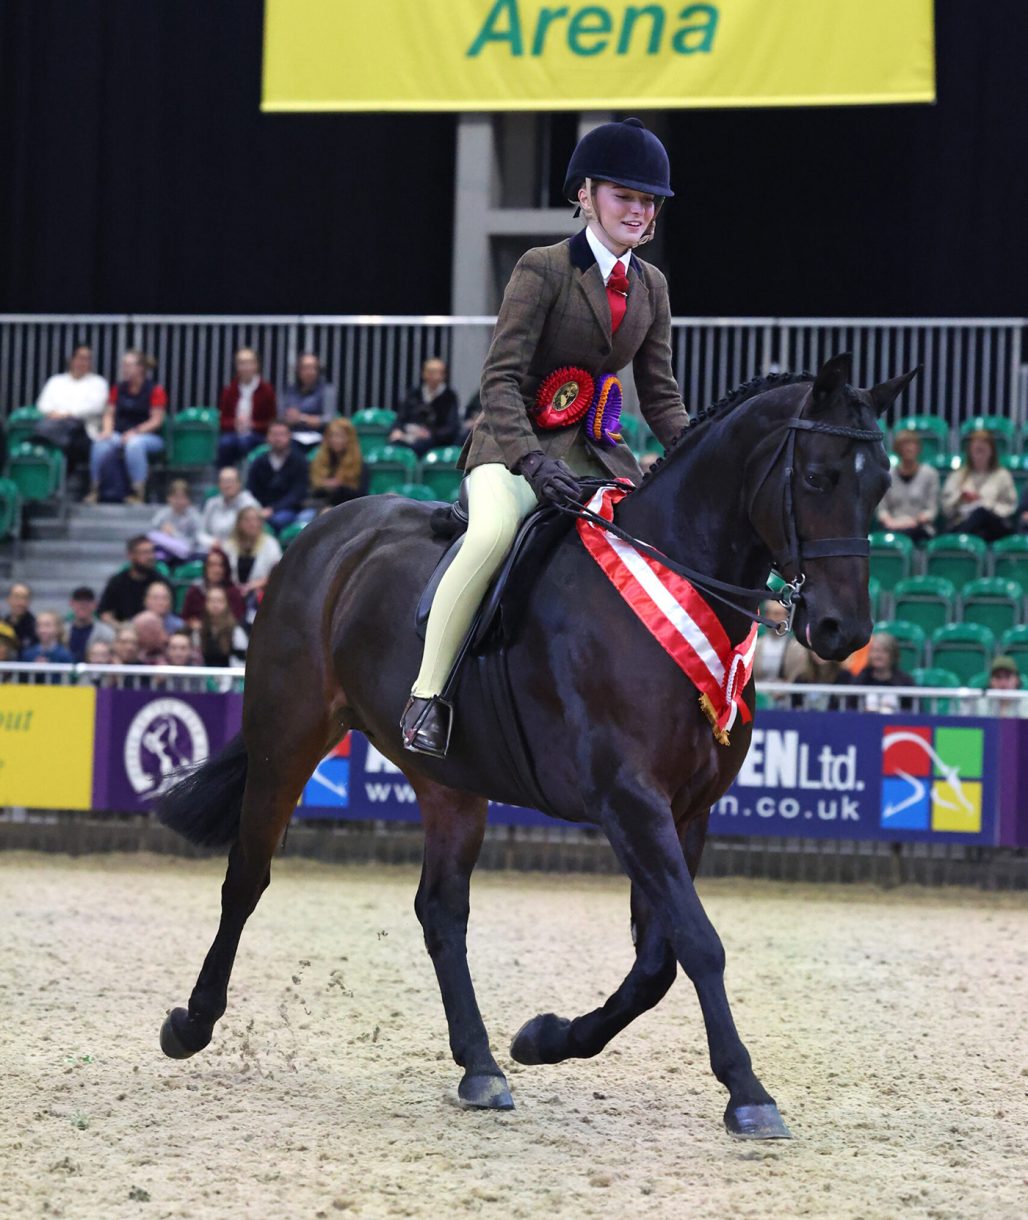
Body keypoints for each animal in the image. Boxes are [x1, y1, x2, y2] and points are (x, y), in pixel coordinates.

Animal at [156, 353, 915, 1140]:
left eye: (882, 485)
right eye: (818, 476)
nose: (844, 631)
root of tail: (326, 529)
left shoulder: (686, 810)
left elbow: (659, 961)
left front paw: (547, 1038)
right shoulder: (629, 801)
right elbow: (699, 943)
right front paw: (747, 1091)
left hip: (450, 783)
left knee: (441, 911)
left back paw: (481, 1065)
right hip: (288, 737)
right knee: (246, 878)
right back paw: (191, 1024)